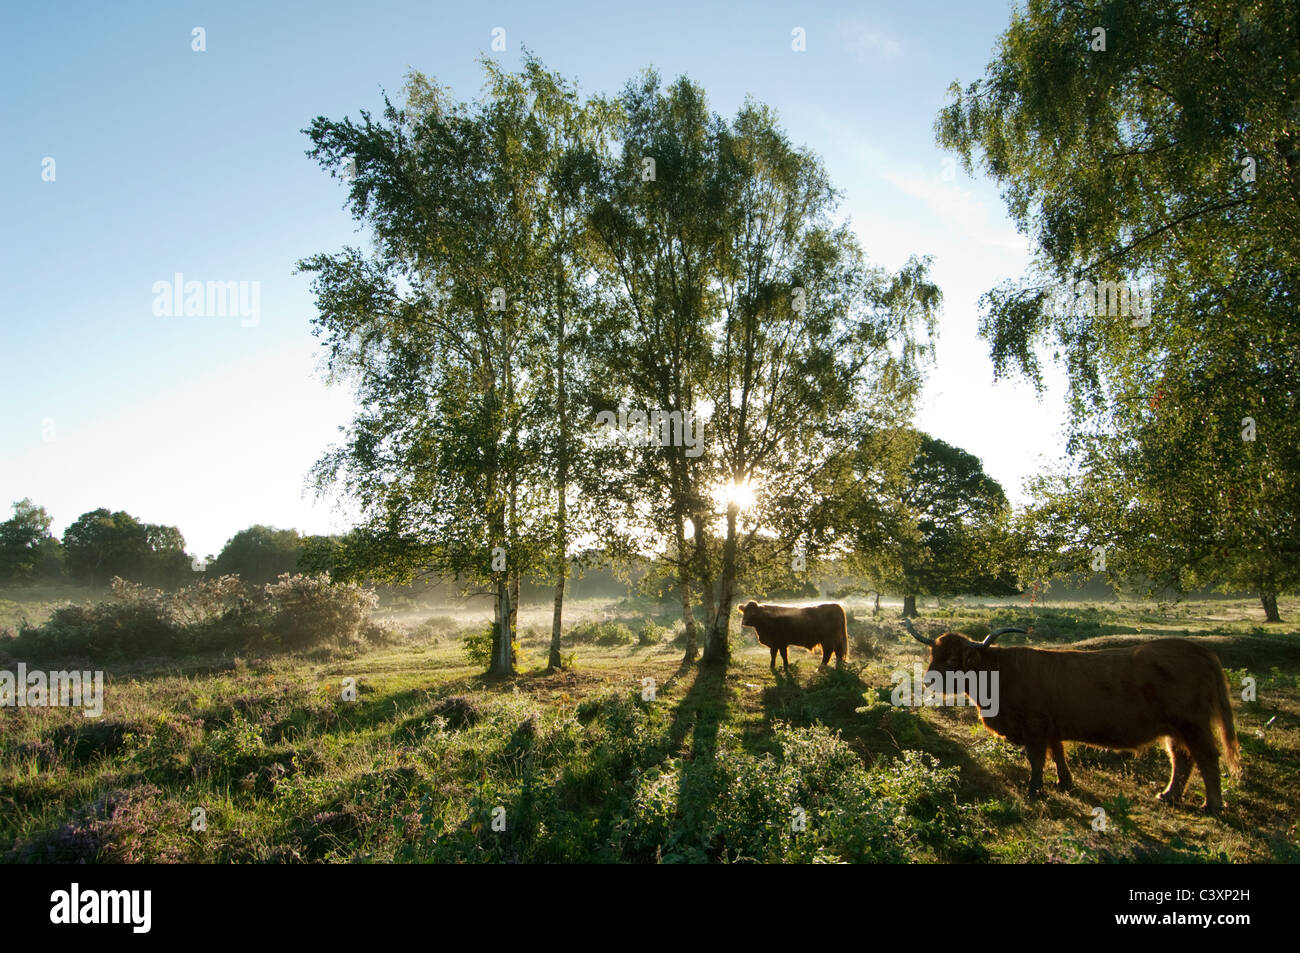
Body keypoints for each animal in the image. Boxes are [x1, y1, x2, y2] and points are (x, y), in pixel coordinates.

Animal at [905, 620, 1240, 813]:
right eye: (933, 655)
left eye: (953, 660)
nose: (929, 681)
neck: (999, 675)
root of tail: (1197, 650)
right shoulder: (1051, 727)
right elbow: (1058, 754)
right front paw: (1064, 782)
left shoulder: (1035, 727)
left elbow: (1037, 758)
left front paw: (1035, 789)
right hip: (1175, 728)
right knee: (1182, 758)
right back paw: (1169, 796)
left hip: (1192, 724)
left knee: (1206, 757)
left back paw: (1212, 805)